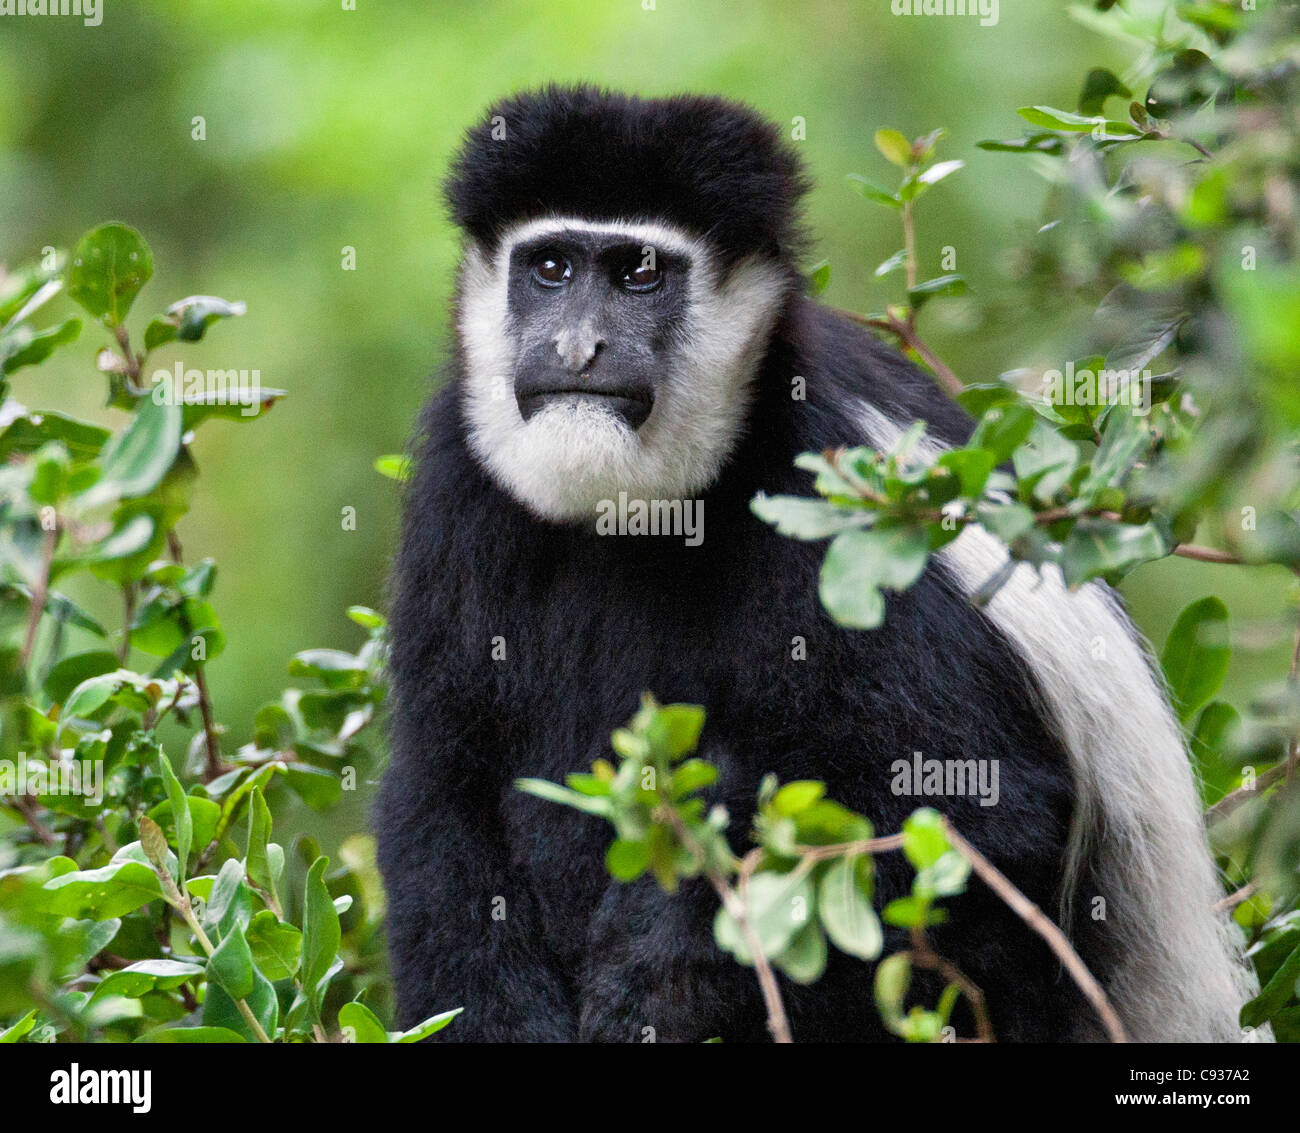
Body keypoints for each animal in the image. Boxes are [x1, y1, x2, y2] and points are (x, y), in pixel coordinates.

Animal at [375, 85, 1257, 1042]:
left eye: (640, 273)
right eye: (550, 268)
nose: (578, 349)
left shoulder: (844, 503)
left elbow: (975, 806)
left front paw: (655, 991)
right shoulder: (460, 481)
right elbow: (443, 781)